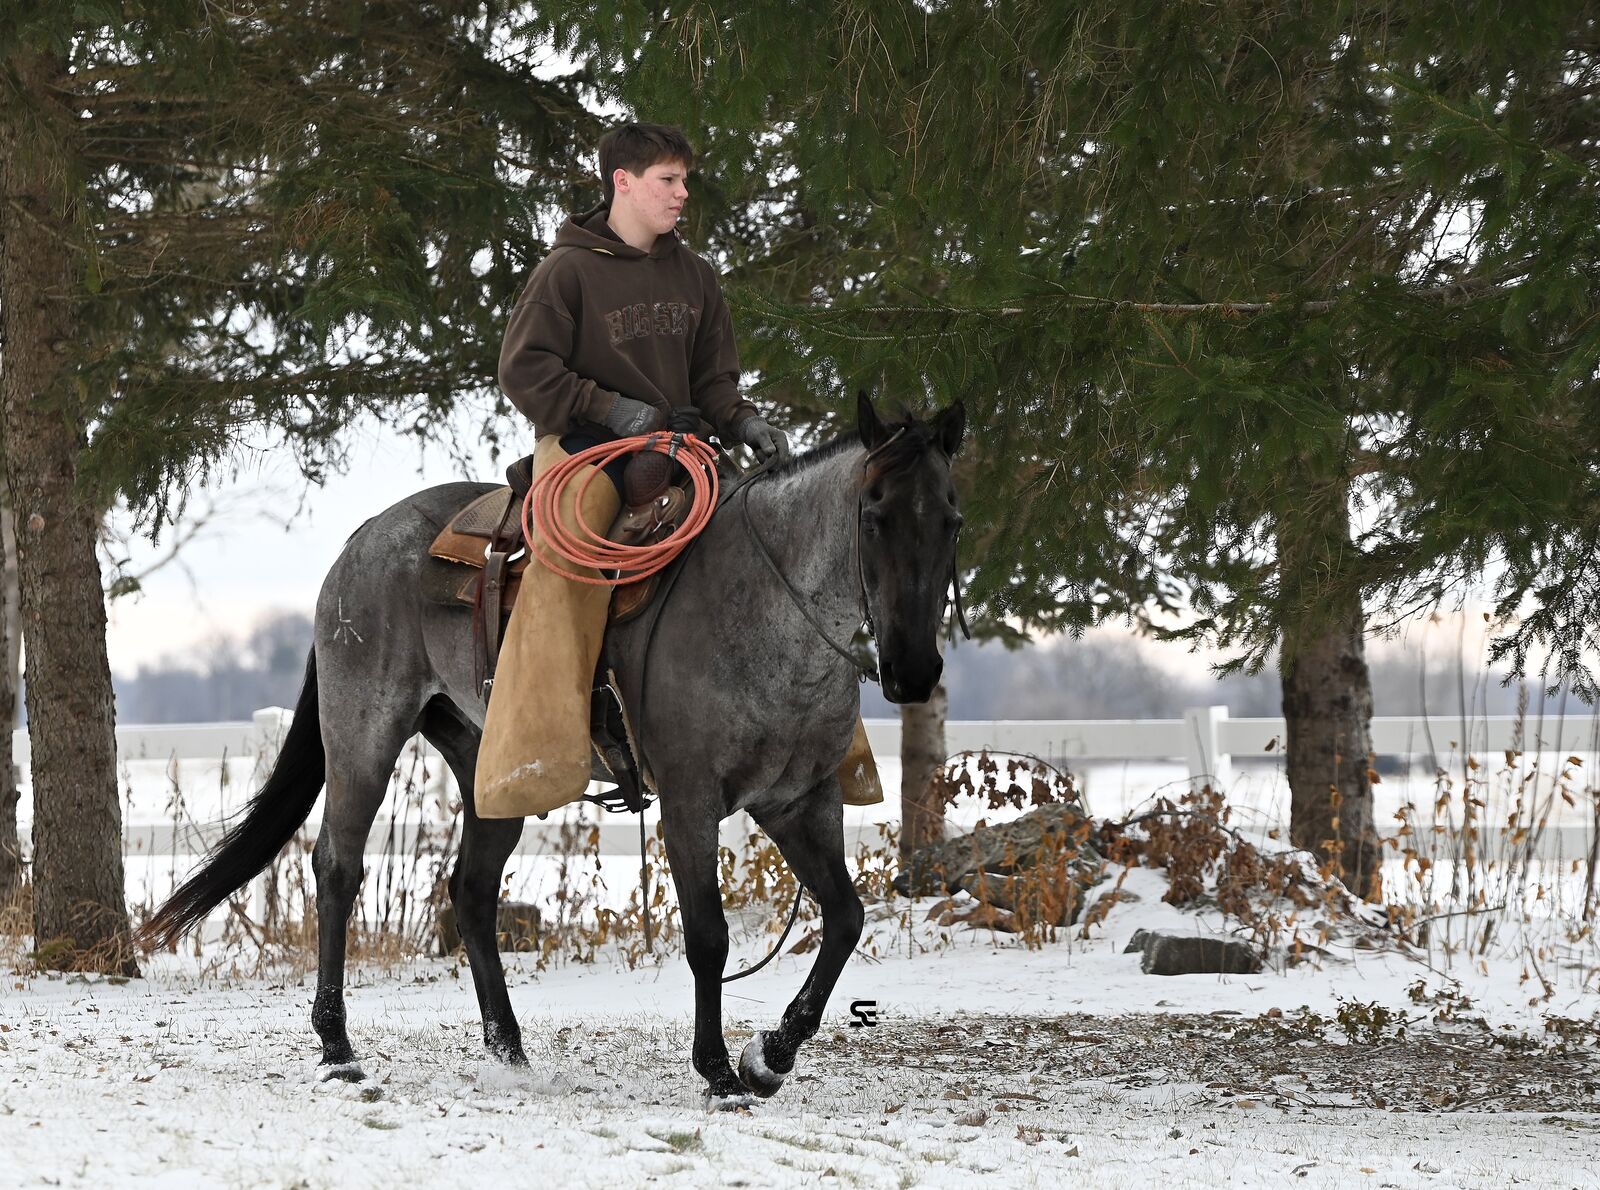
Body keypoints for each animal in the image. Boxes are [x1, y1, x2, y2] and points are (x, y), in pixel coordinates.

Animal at [141, 392, 966, 1106]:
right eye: (874, 514)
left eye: (952, 518)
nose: (914, 670)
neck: (764, 610)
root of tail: (362, 539)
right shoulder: (691, 802)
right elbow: (708, 936)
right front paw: (718, 1071)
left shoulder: (801, 800)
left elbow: (846, 917)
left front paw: (770, 1056)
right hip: (363, 734)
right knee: (338, 868)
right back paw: (339, 1048)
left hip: (495, 766)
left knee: (472, 891)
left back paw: (508, 1049)